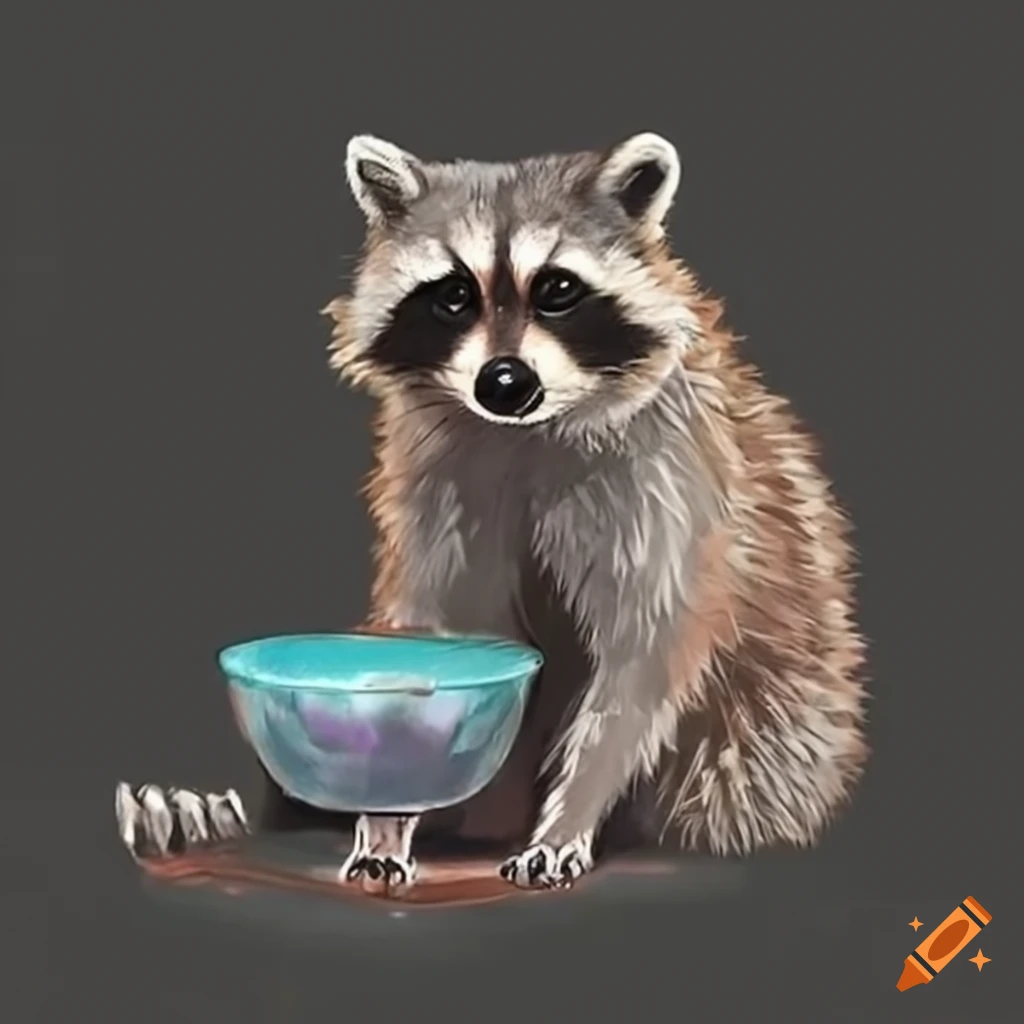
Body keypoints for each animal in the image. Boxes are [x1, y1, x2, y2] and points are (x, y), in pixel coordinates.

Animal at [115, 132, 867, 895]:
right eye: (453, 295)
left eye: (559, 290)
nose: (505, 382)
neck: (524, 432)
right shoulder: (441, 487)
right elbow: (438, 644)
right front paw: (386, 815)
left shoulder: (667, 481)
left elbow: (642, 657)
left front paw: (569, 814)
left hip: (768, 745)